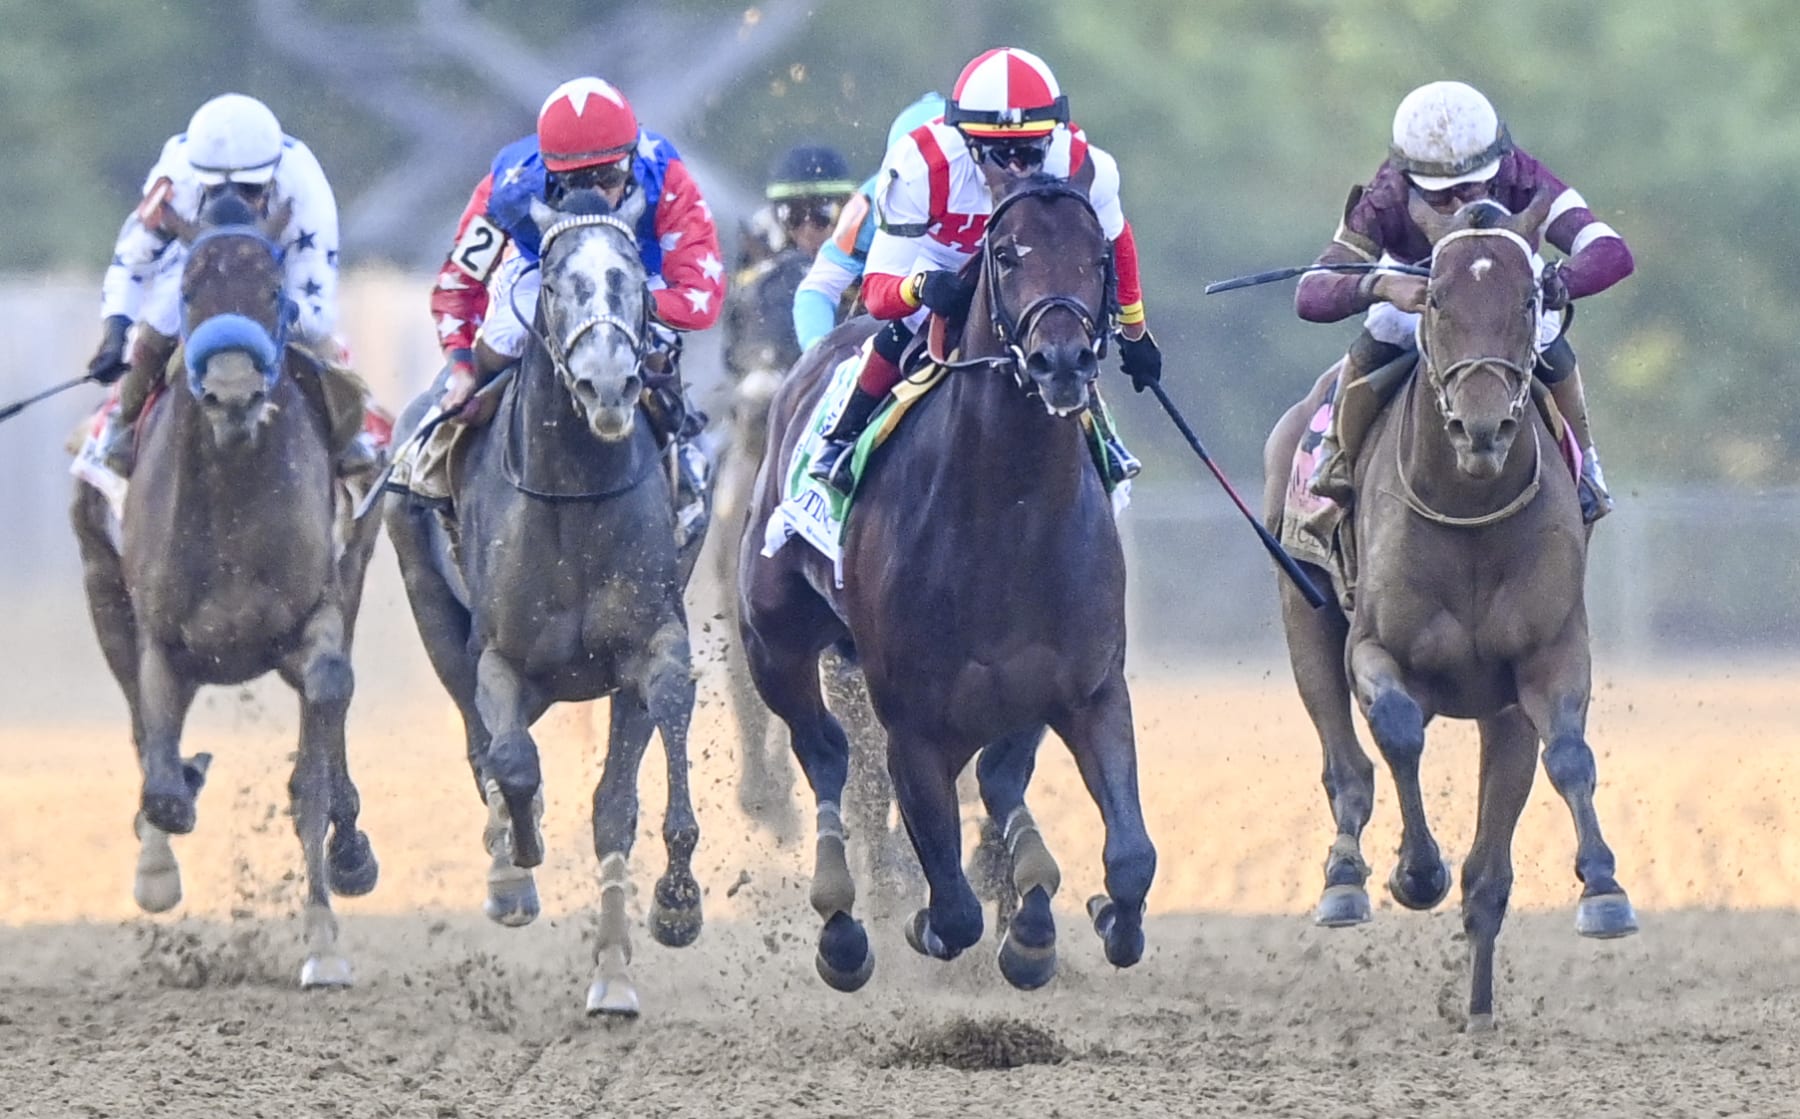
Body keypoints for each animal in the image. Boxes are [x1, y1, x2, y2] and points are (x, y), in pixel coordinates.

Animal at [70, 191, 384, 987]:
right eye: (186, 291)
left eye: (273, 291)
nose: (234, 391)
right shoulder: (159, 640)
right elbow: (159, 773)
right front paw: (162, 844)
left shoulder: (315, 615)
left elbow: (318, 743)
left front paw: (324, 937)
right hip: (100, 585)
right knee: (141, 730)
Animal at [382, 186, 703, 1018]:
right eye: (554, 284)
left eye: (635, 279)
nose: (609, 385)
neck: (573, 496)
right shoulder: (497, 656)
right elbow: (513, 762)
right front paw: (515, 861)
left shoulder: (652, 647)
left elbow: (640, 776)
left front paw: (674, 905)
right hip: (431, 609)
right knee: (481, 744)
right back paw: (507, 870)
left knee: (605, 799)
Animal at [739, 168, 1154, 993]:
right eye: (1007, 252)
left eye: (1101, 256)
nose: (1063, 362)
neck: (1010, 516)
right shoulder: (914, 724)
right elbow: (951, 903)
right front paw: (929, 919)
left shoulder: (1083, 688)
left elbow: (1130, 855)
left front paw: (1084, 919)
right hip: (774, 640)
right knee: (823, 751)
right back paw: (842, 923)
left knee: (990, 780)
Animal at [1262, 193, 1637, 1029]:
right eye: (1435, 298)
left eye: (1528, 299)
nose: (1483, 427)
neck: (1468, 507)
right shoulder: (1375, 648)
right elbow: (1398, 732)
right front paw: (1413, 872)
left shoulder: (1546, 659)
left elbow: (1571, 756)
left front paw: (1604, 889)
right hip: (1304, 613)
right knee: (1346, 762)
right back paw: (1345, 878)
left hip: (1499, 710)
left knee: (1491, 862)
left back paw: (1479, 998)